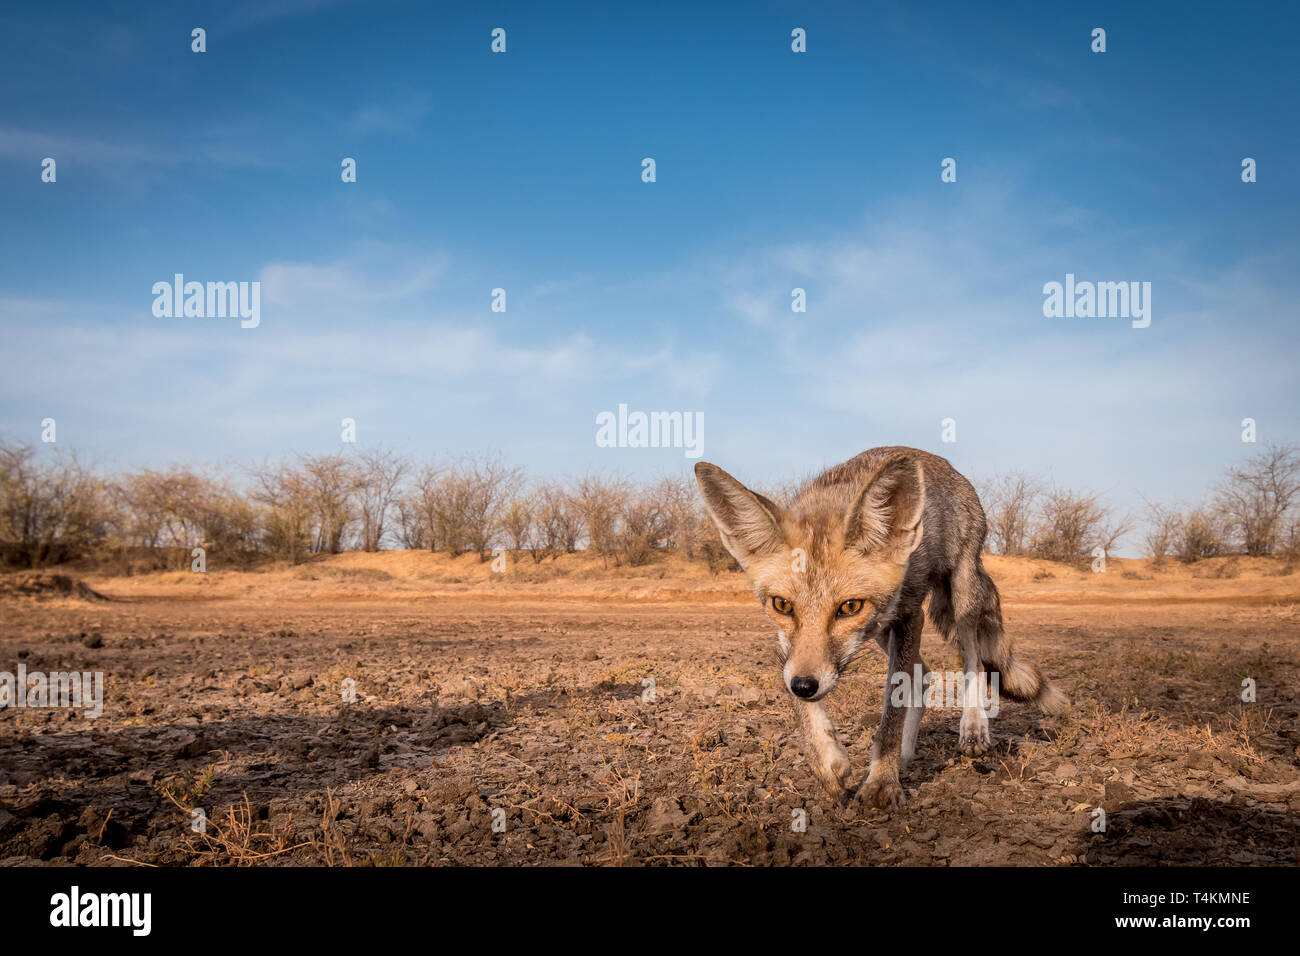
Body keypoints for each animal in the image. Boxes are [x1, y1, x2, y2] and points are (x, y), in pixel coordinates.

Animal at [694, 446, 1067, 809]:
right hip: (880, 632)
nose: (804, 686)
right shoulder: (791, 648)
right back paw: (905, 754)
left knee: (972, 660)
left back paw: (972, 726)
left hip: (960, 593)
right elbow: (806, 705)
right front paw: (827, 760)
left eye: (849, 607)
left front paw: (882, 783)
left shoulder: (910, 616)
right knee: (923, 673)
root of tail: (941, 462)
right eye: (782, 606)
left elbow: (891, 715)